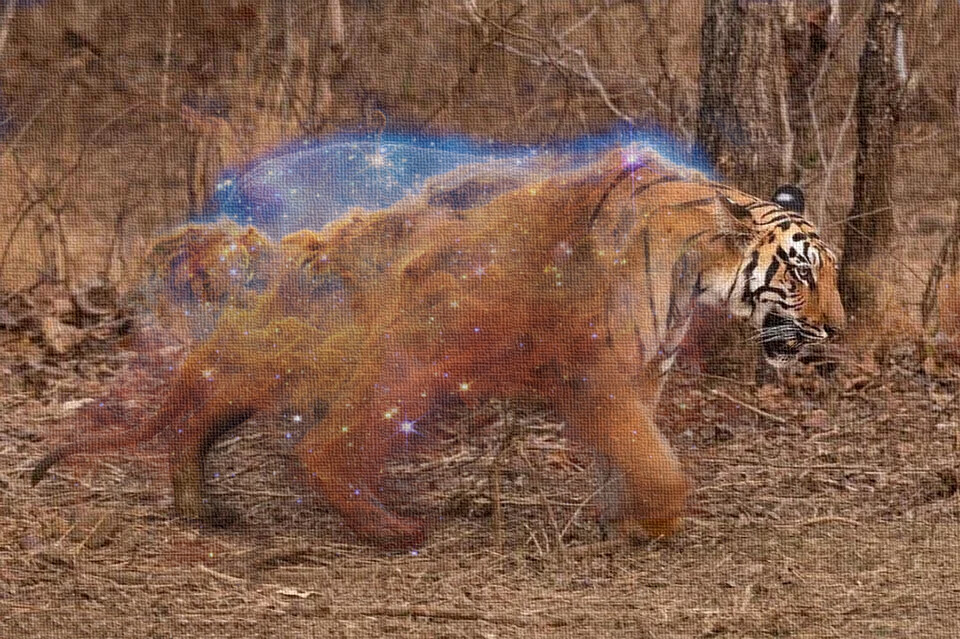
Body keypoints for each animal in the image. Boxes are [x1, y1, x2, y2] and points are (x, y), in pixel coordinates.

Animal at [32, 146, 844, 547]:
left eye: (833, 273)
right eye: (802, 273)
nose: (838, 330)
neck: (697, 273)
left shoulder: (642, 375)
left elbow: (634, 455)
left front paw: (621, 521)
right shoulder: (597, 375)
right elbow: (658, 463)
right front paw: (656, 523)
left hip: (278, 371)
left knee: (199, 419)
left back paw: (199, 507)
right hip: (404, 369)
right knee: (318, 448)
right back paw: (392, 531)